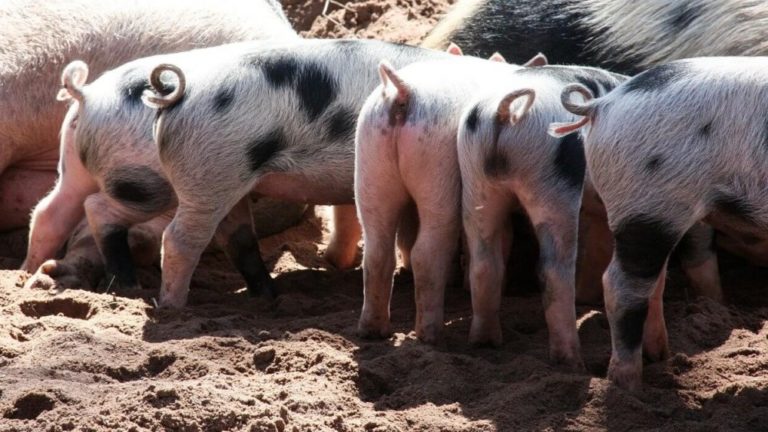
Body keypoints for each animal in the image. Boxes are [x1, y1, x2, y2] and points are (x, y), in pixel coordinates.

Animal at [550, 56, 768, 390]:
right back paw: (628, 385)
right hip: (646, 205)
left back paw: (662, 358)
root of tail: (604, 104)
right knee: (621, 286)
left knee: (654, 282)